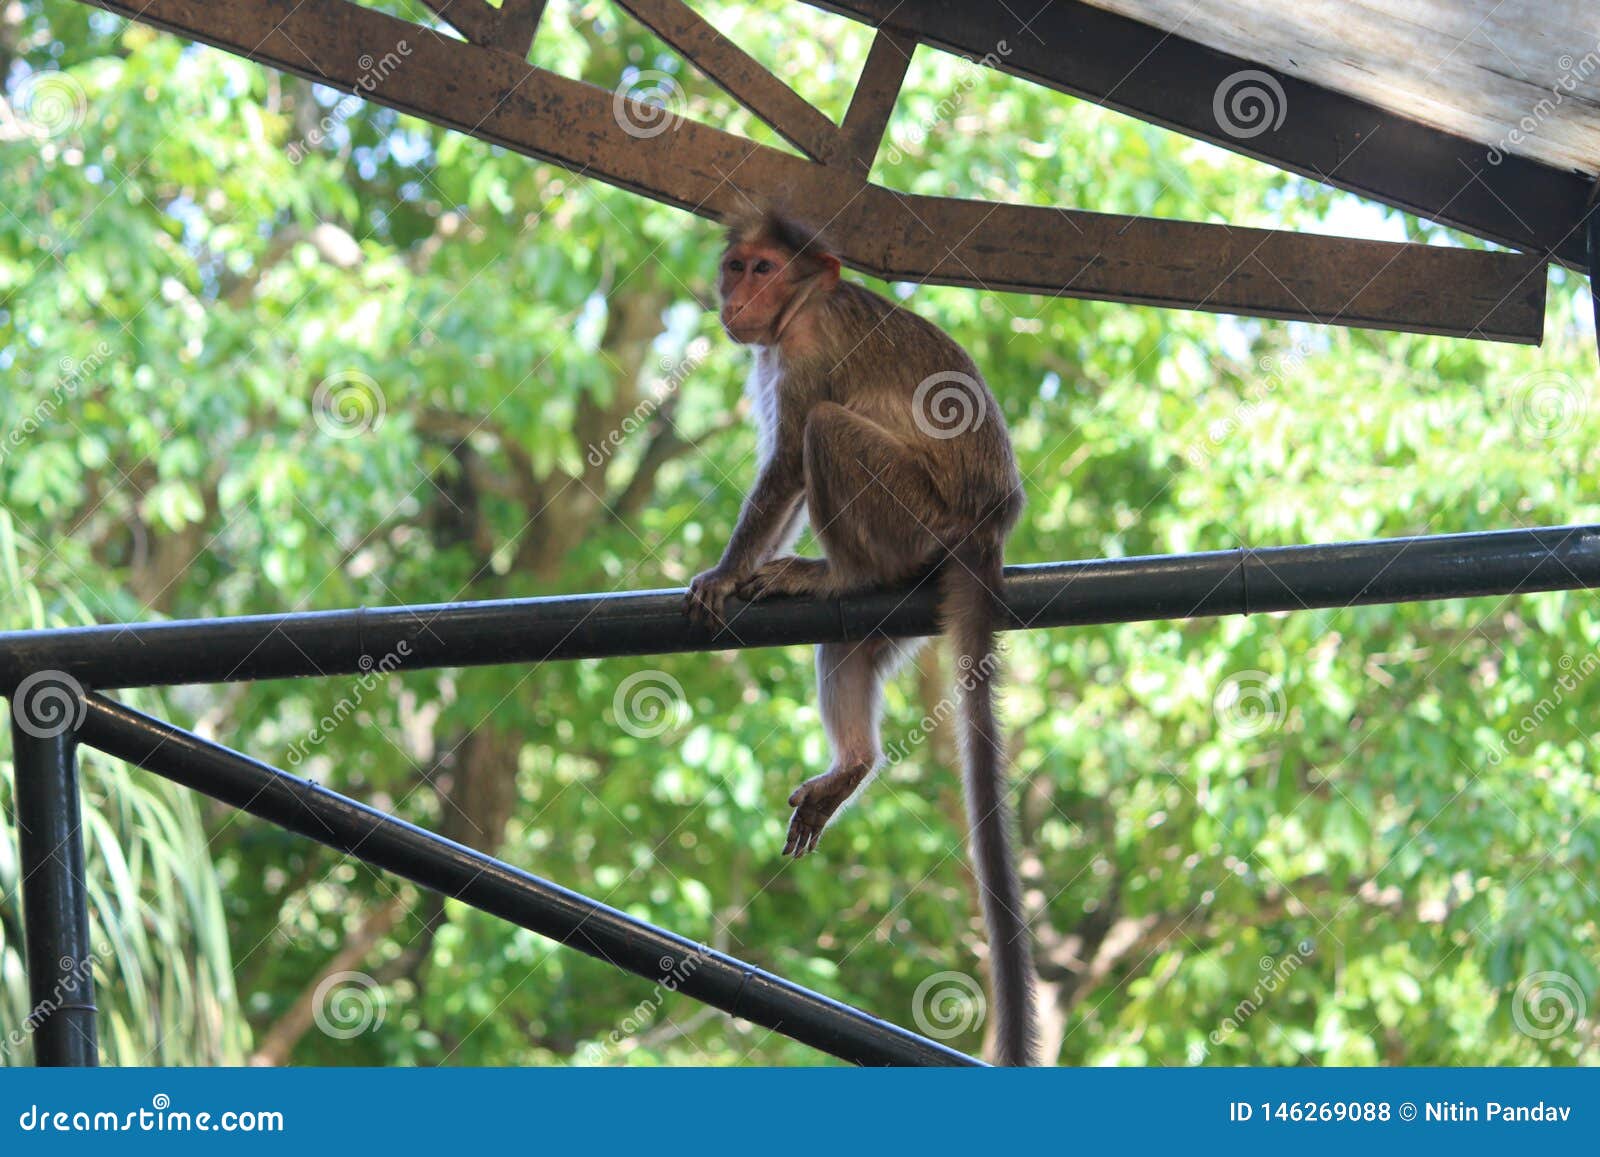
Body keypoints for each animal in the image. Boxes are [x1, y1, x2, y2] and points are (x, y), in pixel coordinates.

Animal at [684, 207, 1038, 1065]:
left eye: (765, 267)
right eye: (738, 265)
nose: (738, 295)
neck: (800, 305)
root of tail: (987, 528)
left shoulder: (806, 347)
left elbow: (787, 460)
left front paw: (725, 571)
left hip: (912, 518)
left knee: (826, 429)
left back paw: (835, 574)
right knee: (851, 648)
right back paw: (852, 762)